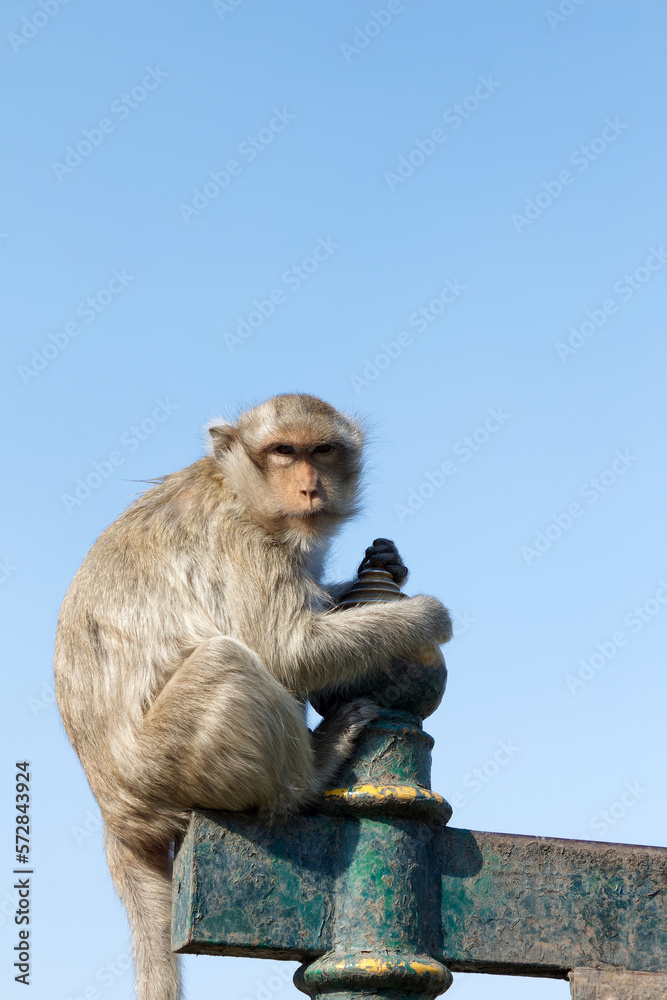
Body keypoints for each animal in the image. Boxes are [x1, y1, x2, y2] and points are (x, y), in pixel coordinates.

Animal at [54, 393, 452, 1000]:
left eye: (323, 450)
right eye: (283, 451)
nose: (310, 488)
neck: (239, 487)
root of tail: (116, 817)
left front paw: (384, 564)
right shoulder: (243, 539)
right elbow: (289, 650)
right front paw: (428, 615)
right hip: (165, 771)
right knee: (227, 660)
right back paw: (313, 772)